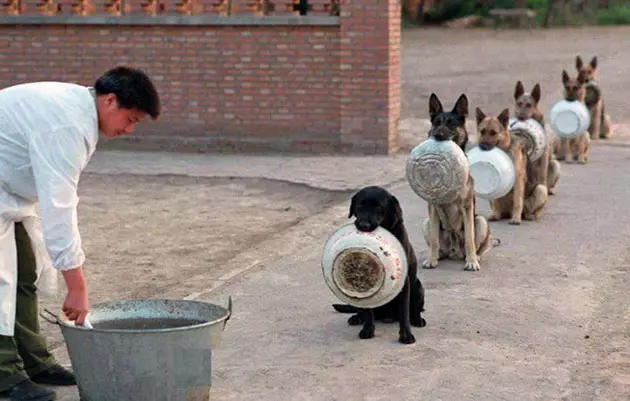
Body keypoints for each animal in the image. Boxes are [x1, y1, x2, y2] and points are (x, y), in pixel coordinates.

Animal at [330, 185, 430, 344]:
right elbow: (368, 312)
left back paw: (417, 320)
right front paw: (367, 330)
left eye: (379, 207)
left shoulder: (404, 283)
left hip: (418, 288)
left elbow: (404, 313)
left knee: (414, 309)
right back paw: (357, 318)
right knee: (362, 311)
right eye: (360, 205)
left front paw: (406, 335)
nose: (363, 225)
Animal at [422, 93, 496, 272]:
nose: (438, 135)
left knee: (477, 246)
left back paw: (474, 257)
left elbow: (470, 239)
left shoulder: (466, 207)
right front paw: (431, 260)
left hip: (480, 221)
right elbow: (434, 239)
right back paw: (438, 256)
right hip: (426, 221)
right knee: (438, 244)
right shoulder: (433, 208)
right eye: (437, 123)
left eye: (452, 123)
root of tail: (454, 252)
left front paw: (471, 262)